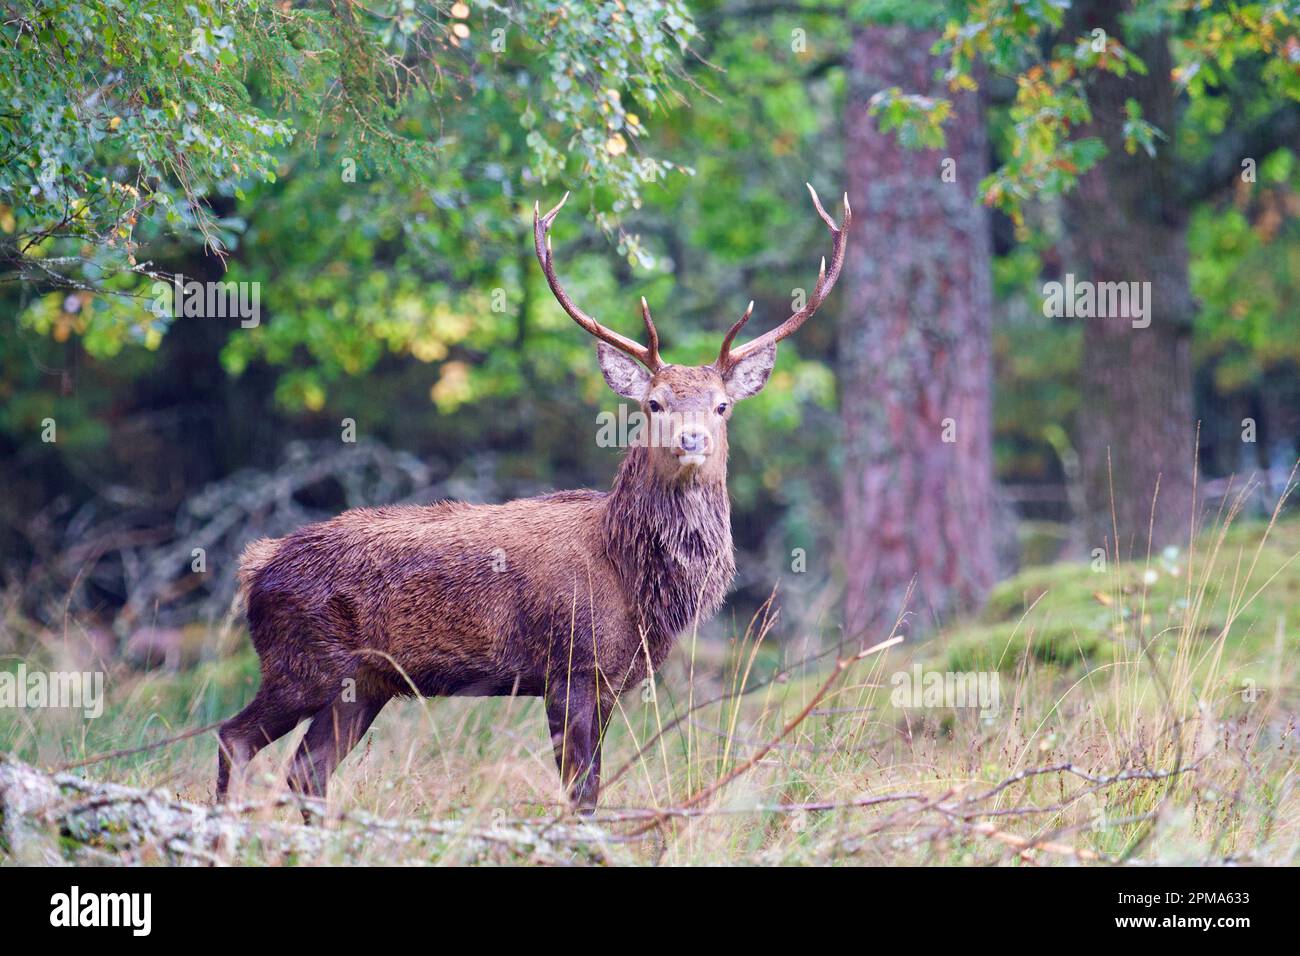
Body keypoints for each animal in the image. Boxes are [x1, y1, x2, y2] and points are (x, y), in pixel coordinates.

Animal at [216, 184, 850, 812]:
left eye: (722, 406)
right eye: (654, 403)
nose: (692, 439)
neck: (631, 573)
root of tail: (257, 563)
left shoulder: (610, 680)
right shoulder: (569, 667)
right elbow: (581, 791)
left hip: (364, 684)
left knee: (307, 771)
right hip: (300, 664)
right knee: (234, 737)